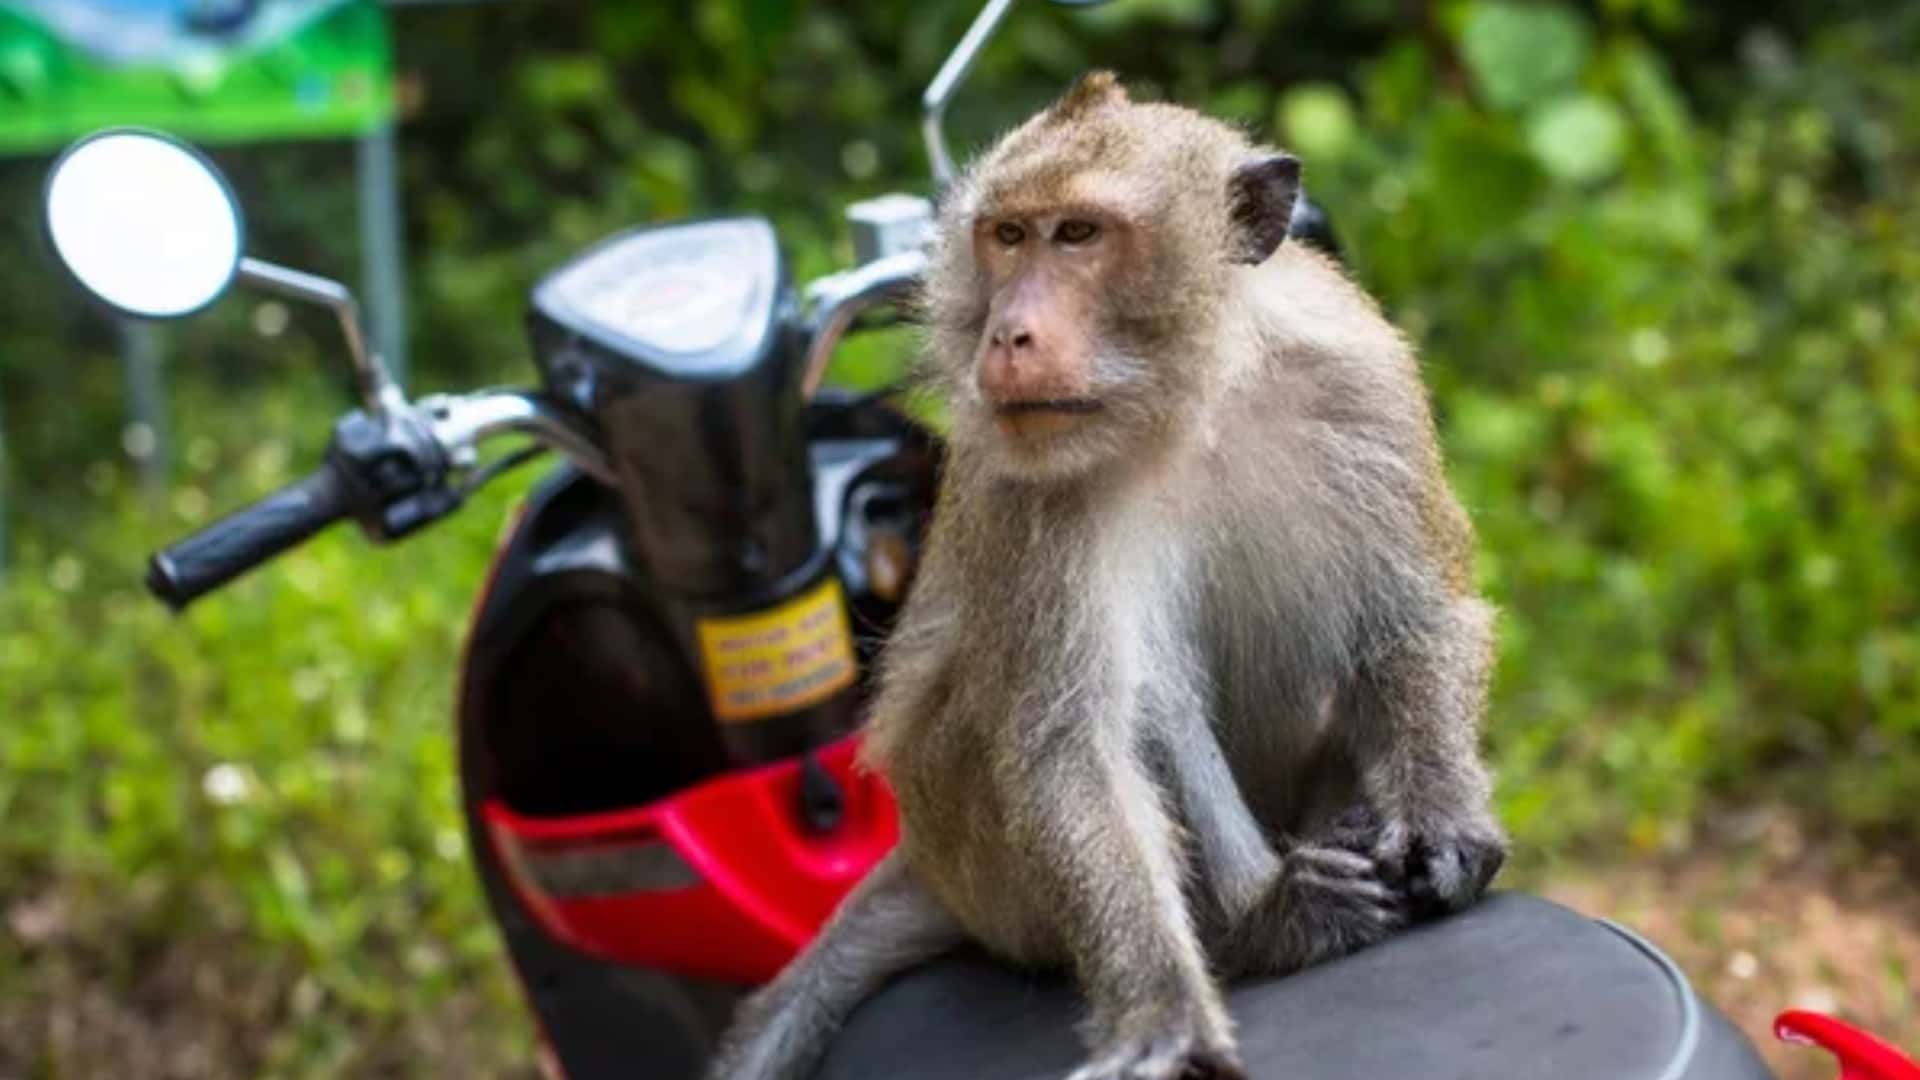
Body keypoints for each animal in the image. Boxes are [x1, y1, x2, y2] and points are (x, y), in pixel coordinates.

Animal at [707, 71, 1506, 1080]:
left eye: (1079, 233)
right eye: (1008, 236)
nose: (1009, 333)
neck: (1195, 402)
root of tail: (924, 859)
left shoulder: (1362, 383)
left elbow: (1413, 616)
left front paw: (1441, 817)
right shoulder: (1033, 485)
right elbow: (1071, 745)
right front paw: (1165, 1013)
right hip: (982, 858)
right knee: (1142, 695)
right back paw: (1267, 924)